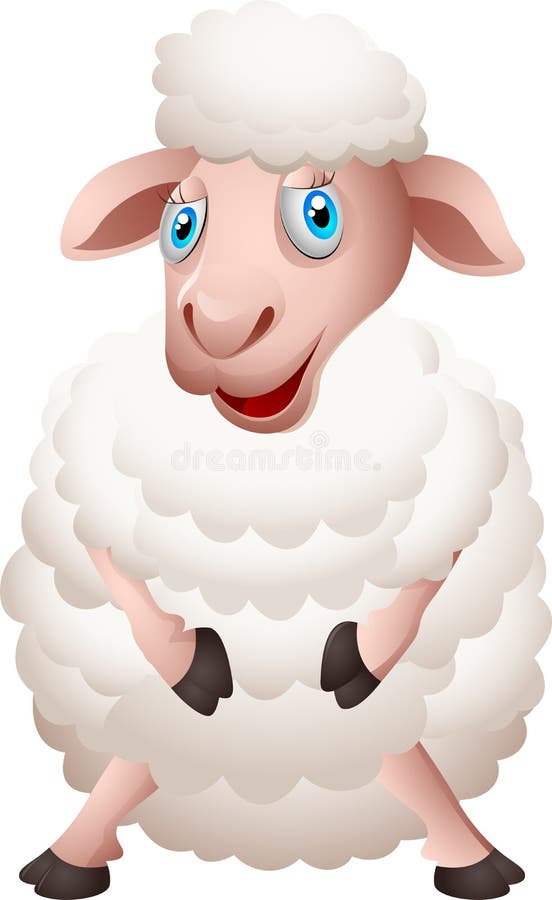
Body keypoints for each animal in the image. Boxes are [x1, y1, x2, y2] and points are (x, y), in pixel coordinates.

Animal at [1, 2, 548, 899]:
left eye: (318, 218)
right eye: (179, 227)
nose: (219, 327)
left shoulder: (462, 491)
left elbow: (430, 575)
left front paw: (353, 658)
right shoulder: (91, 494)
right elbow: (120, 573)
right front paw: (195, 665)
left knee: (401, 754)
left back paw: (470, 854)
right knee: (141, 754)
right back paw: (71, 855)